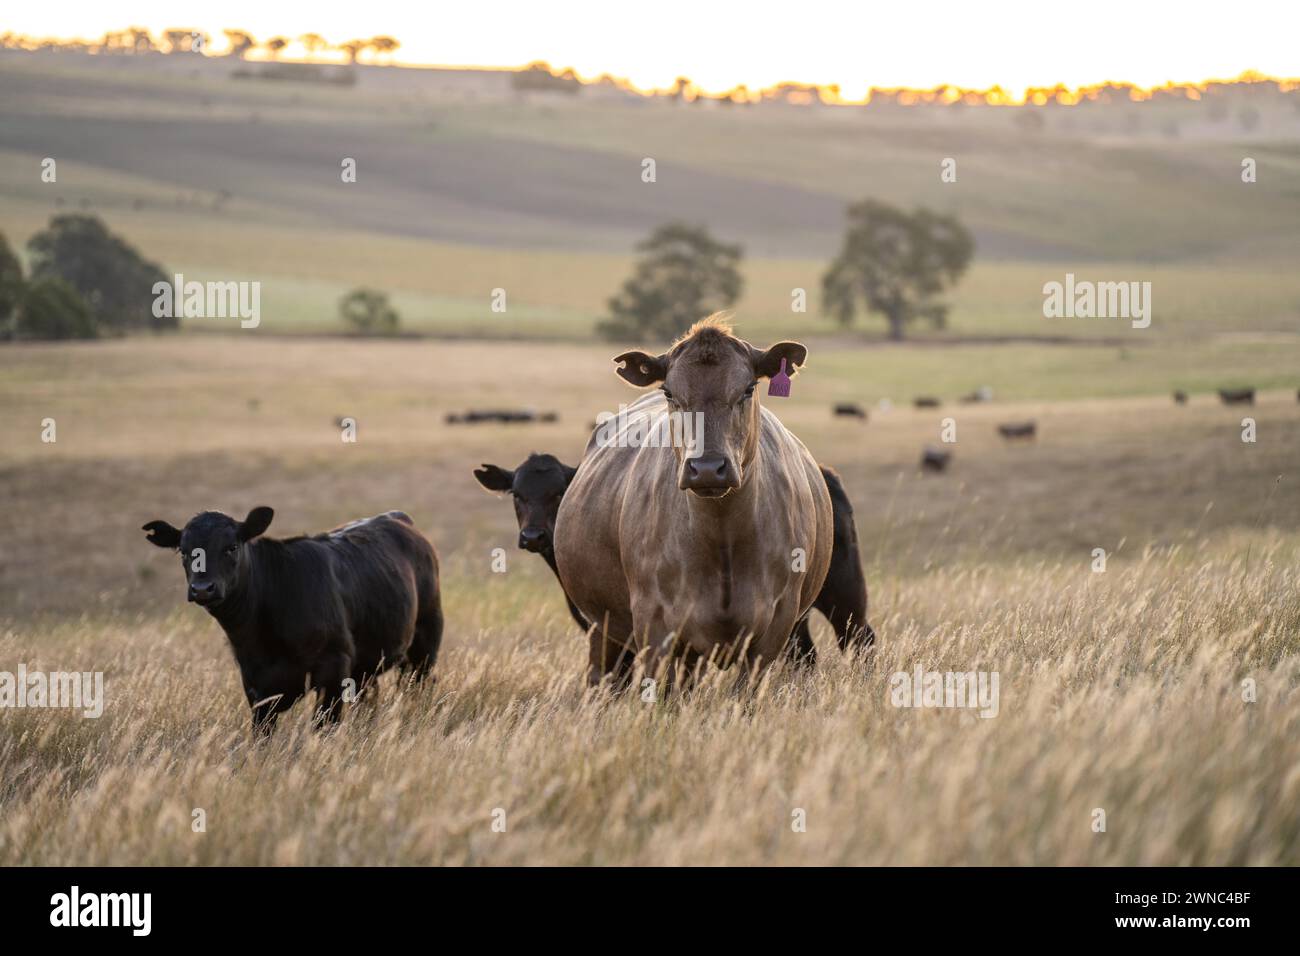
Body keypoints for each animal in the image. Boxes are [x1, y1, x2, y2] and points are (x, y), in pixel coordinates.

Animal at [142, 507, 442, 734]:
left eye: (231, 547)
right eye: (183, 551)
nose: (202, 588)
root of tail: (396, 517)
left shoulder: (334, 667)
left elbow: (324, 728)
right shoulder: (256, 685)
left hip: (424, 644)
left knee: (417, 686)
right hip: (367, 666)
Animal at [475, 455, 874, 679]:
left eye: (558, 492)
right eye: (516, 494)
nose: (532, 536)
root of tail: (825, 474)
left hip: (843, 592)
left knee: (859, 639)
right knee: (805, 655)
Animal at [553, 315, 834, 687]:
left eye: (748, 389)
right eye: (669, 392)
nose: (707, 468)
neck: (721, 536)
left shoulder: (776, 625)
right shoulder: (653, 623)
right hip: (604, 626)